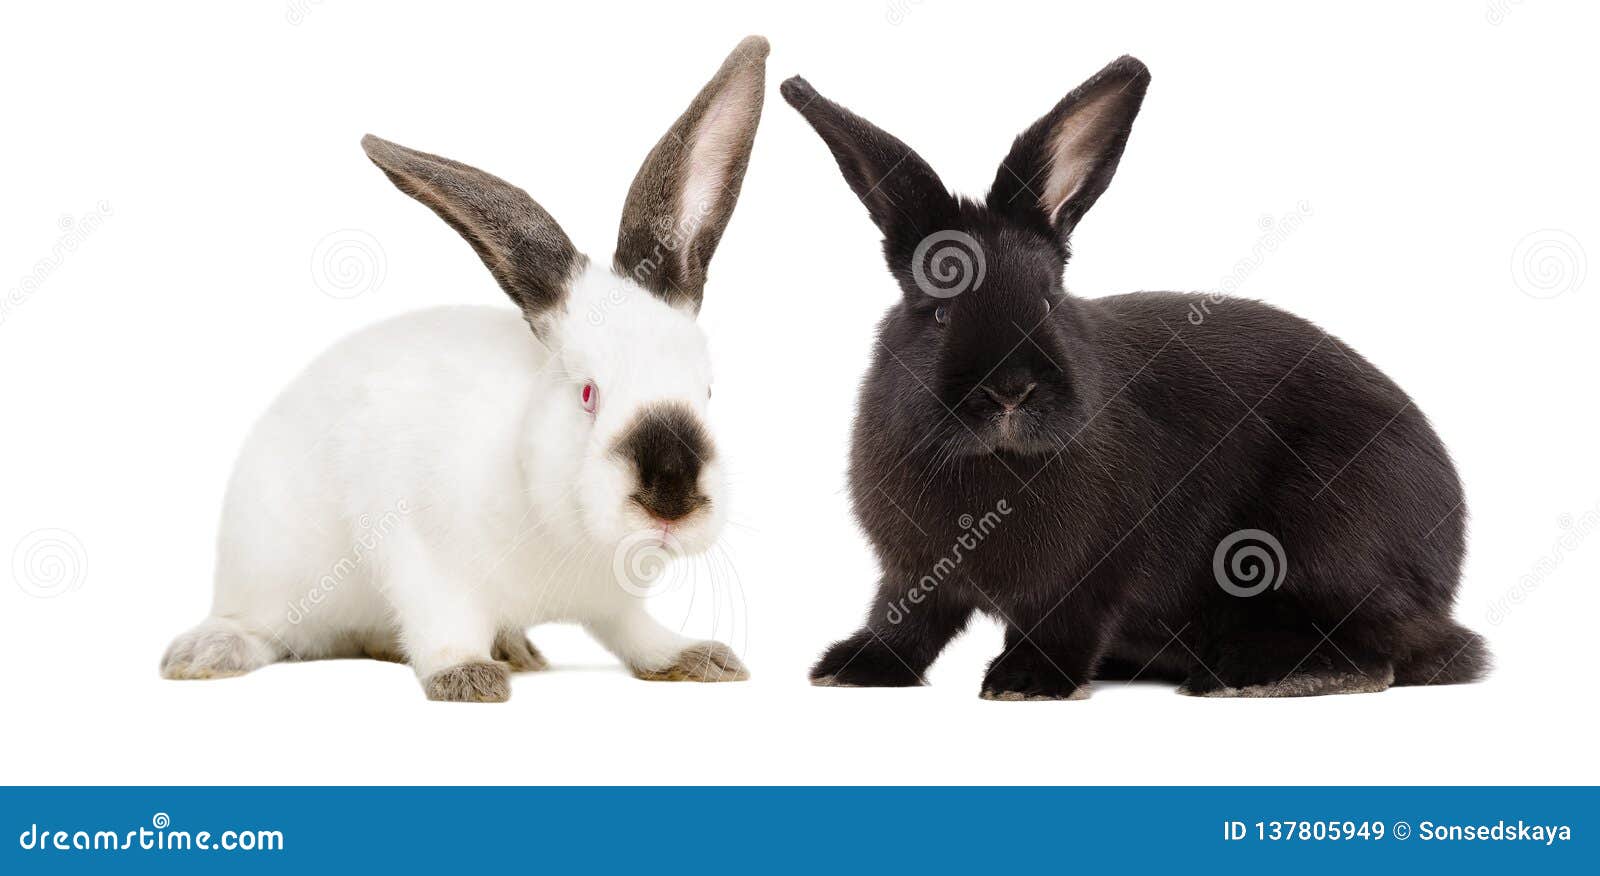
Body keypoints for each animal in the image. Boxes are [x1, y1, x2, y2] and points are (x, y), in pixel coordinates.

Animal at [160, 36, 770, 701]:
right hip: (267, 568)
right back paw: (207, 652)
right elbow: (440, 624)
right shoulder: (419, 552)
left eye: (706, 389)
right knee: (263, 624)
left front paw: (698, 658)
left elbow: (636, 634)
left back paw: (515, 647)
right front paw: (467, 678)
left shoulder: (616, 604)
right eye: (588, 393)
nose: (671, 501)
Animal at [782, 56, 1488, 700]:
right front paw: (850, 668)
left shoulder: (1092, 576)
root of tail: (1443, 575)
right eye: (939, 312)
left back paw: (1246, 677)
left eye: (1049, 300)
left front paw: (1026, 682)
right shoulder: (913, 573)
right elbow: (905, 620)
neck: (997, 461)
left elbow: (1064, 624)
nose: (1010, 391)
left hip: (1324, 548)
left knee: (1380, 654)